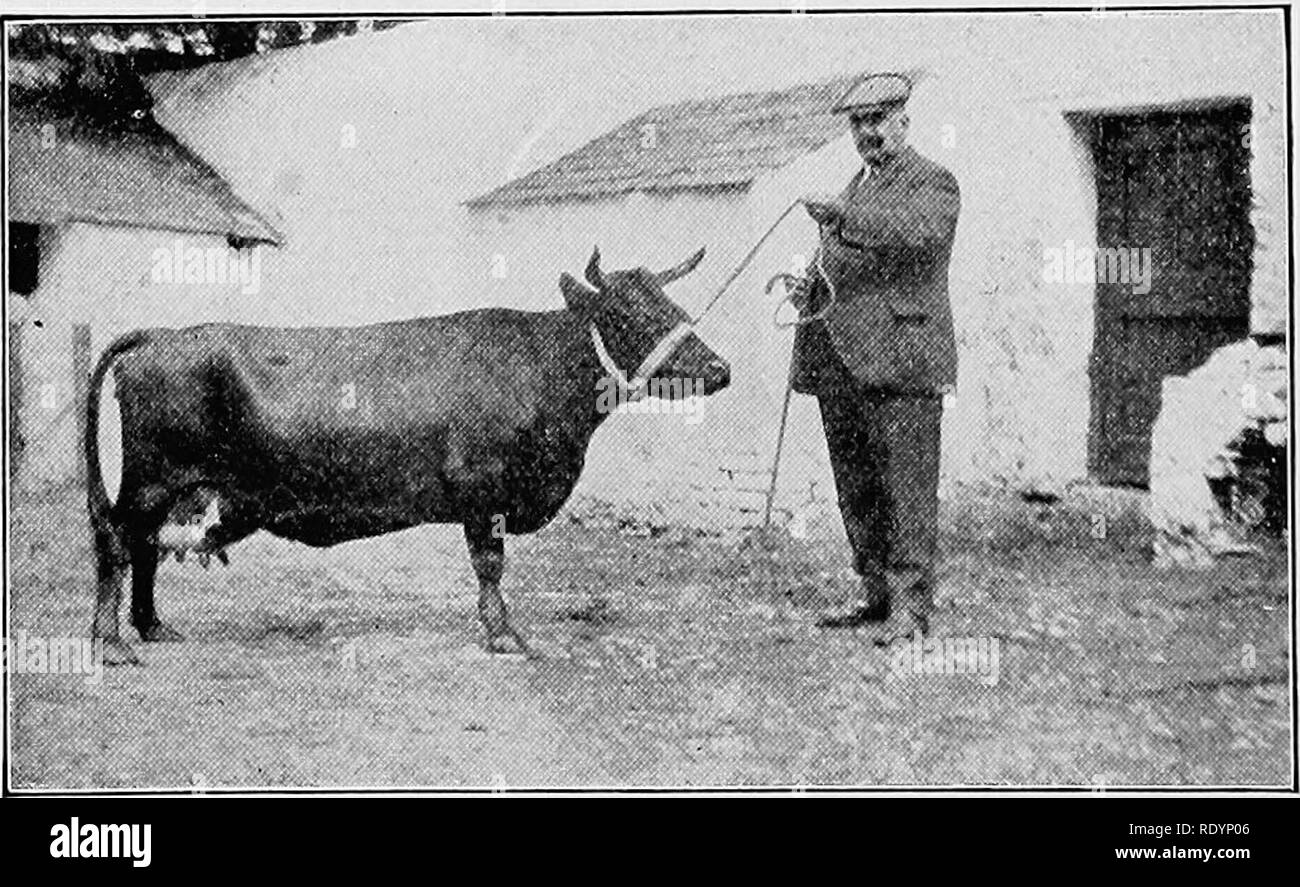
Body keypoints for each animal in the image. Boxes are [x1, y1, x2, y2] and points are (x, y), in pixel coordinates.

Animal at [85, 247, 730, 665]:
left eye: (673, 305)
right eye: (626, 311)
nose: (719, 368)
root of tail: (161, 335)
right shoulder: (484, 491)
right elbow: (490, 565)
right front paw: (504, 635)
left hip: (170, 485)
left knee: (144, 544)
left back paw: (152, 627)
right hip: (152, 477)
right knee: (118, 540)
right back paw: (113, 643)